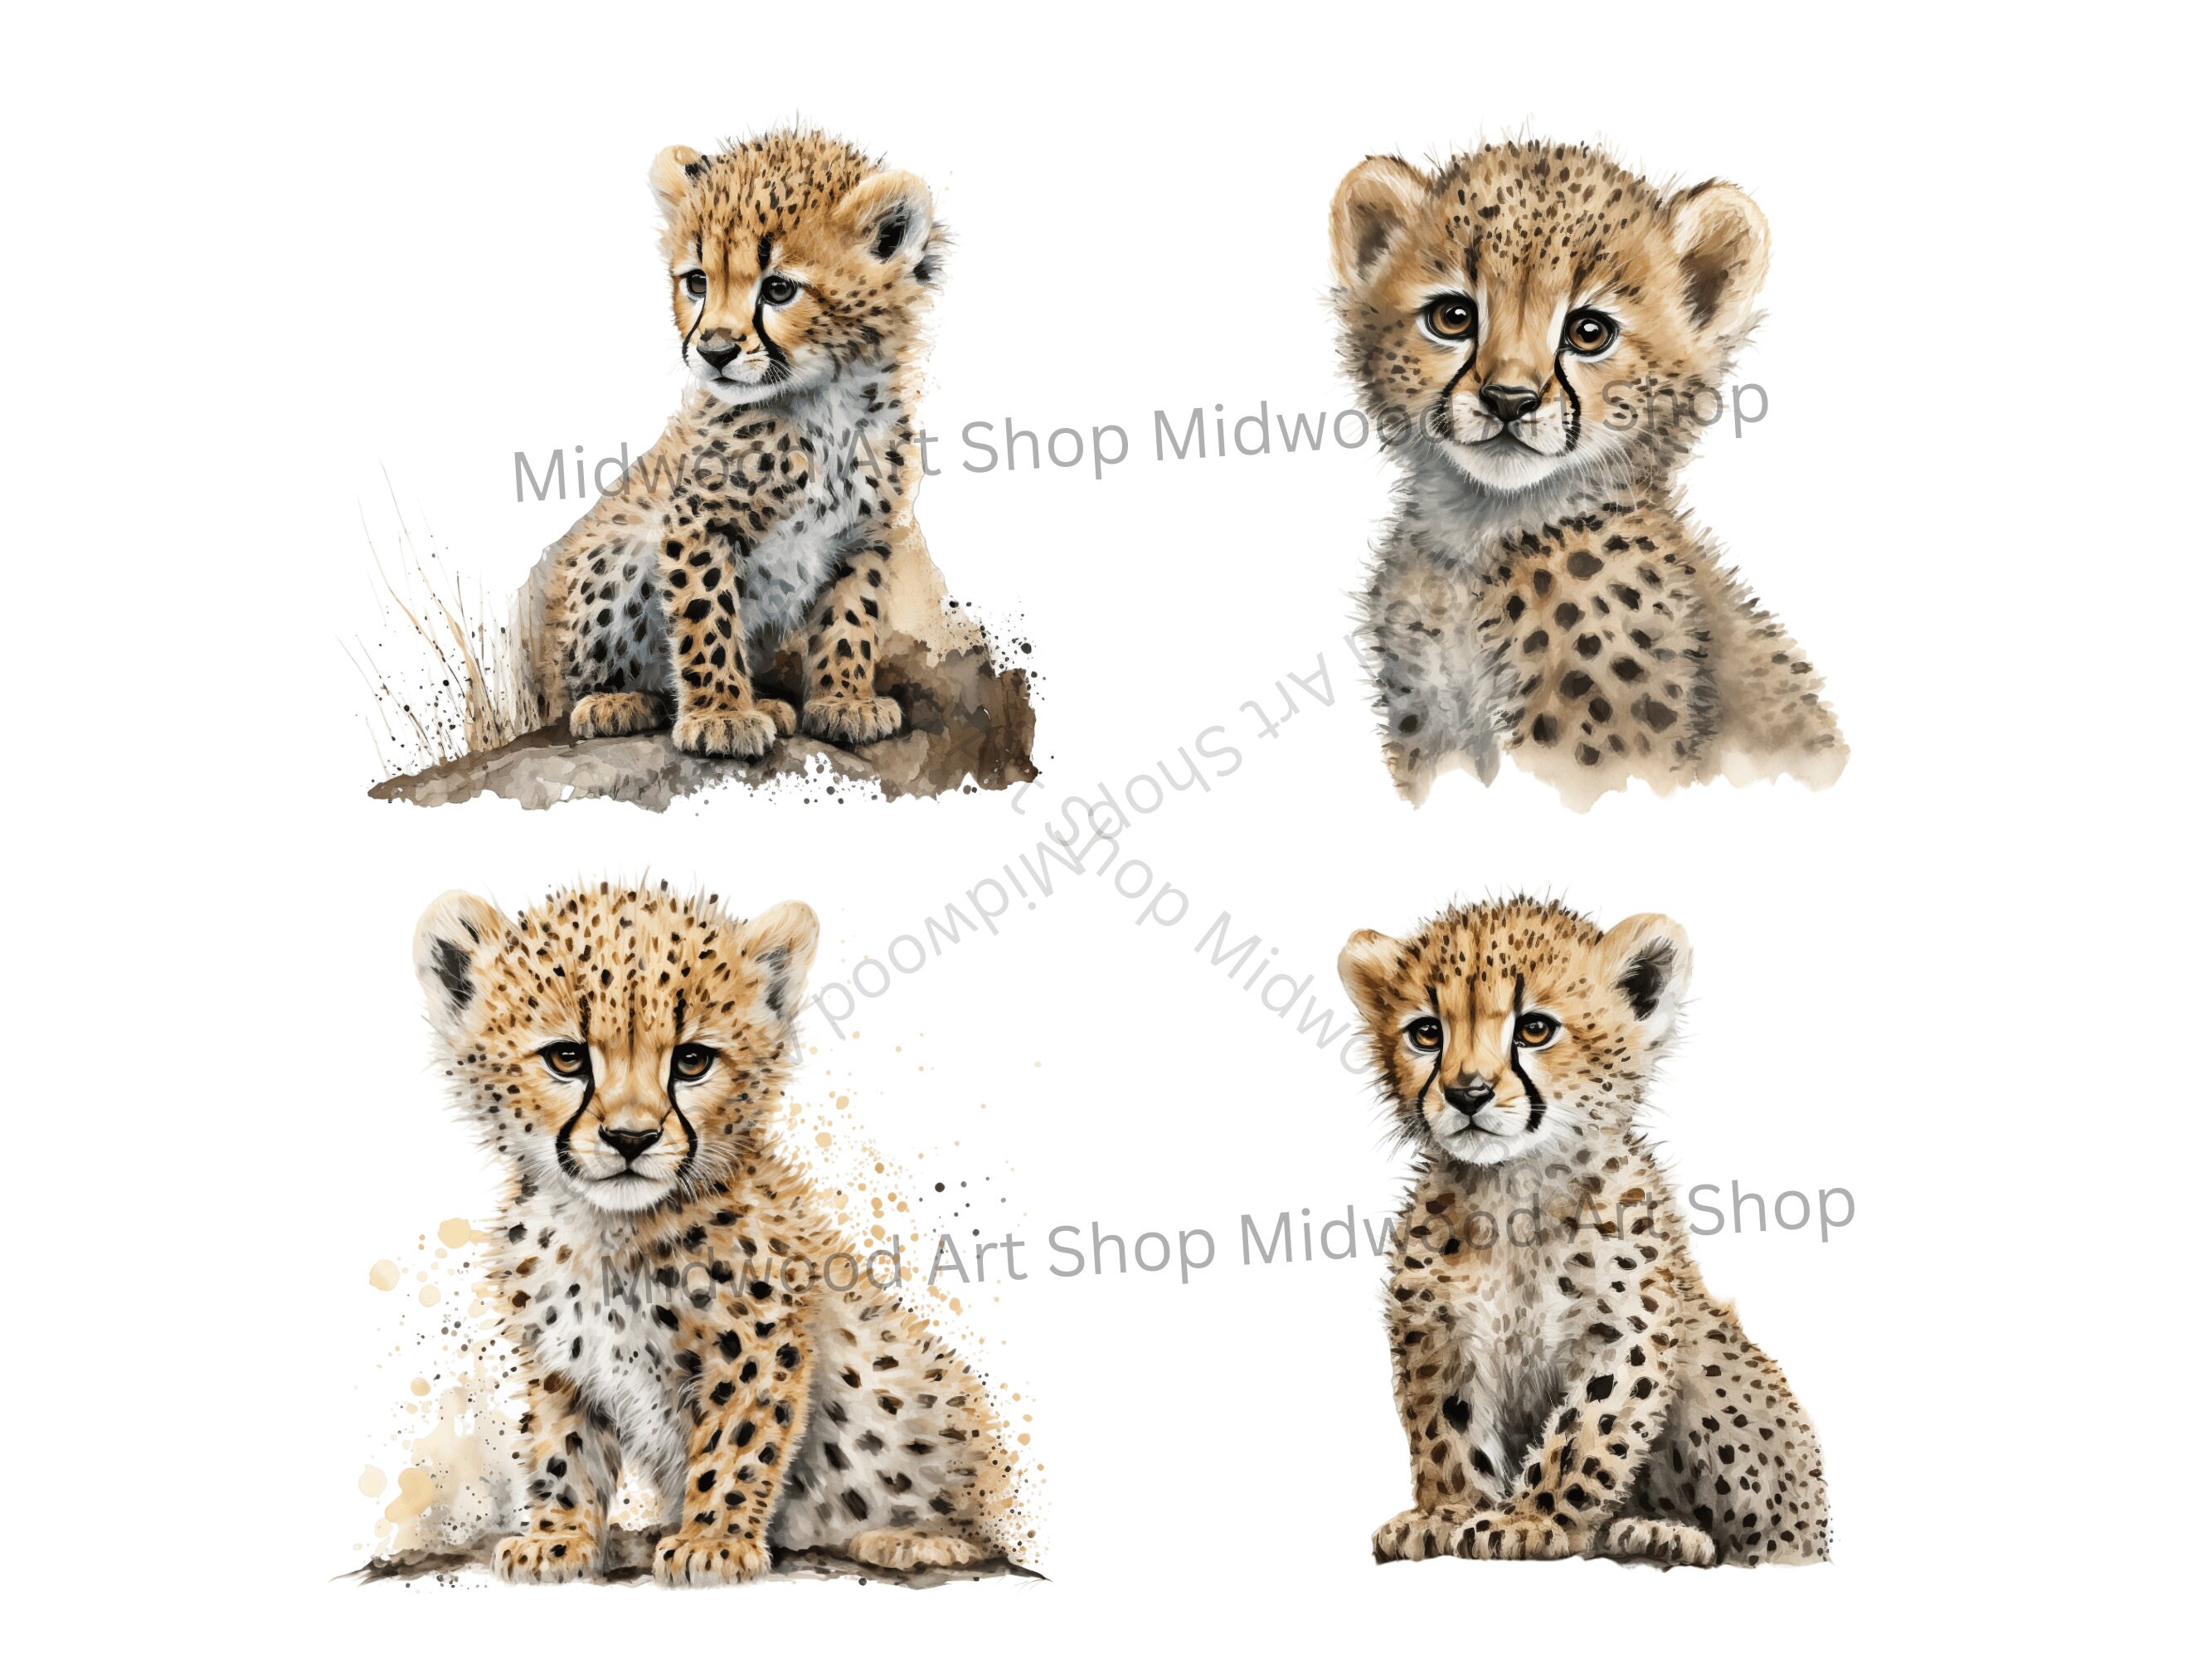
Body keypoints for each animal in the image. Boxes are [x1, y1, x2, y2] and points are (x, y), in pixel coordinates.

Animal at [411, 880, 1025, 1585]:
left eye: (692, 1061)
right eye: (566, 1058)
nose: (630, 1139)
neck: (609, 1228)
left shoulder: (758, 1349)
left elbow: (736, 1447)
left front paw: (711, 1543)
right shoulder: (562, 1363)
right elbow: (562, 1451)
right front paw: (558, 1540)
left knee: (978, 1518)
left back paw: (915, 1539)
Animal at [537, 129, 949, 760]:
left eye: (778, 288)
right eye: (697, 282)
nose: (714, 350)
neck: (820, 403)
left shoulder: (864, 536)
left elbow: (852, 618)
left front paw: (844, 701)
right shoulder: (696, 522)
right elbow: (706, 619)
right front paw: (721, 715)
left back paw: (769, 703)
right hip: (615, 556)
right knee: (600, 679)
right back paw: (617, 702)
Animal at [1329, 140, 1847, 809]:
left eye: (1589, 332)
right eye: (1452, 317)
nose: (1509, 400)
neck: (1479, 535)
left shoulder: (1595, 762)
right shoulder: (1431, 733)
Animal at [1337, 897, 1828, 1567]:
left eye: (1534, 1029)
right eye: (1426, 1033)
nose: (1467, 1093)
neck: (1513, 1189)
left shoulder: (1627, 1331)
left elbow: (1588, 1432)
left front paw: (1526, 1519)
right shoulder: (1437, 1334)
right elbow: (1446, 1429)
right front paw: (1446, 1514)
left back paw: (1669, 1533)